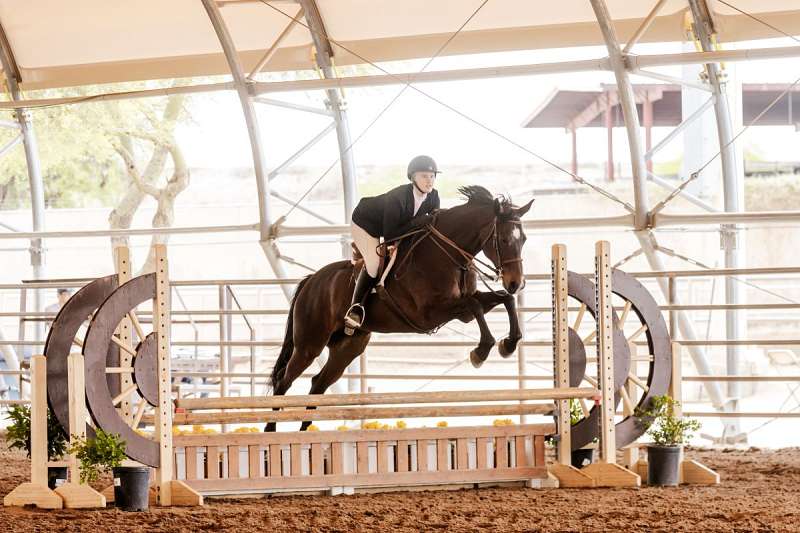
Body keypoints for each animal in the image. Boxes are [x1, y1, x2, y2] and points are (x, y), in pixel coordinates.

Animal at [266, 185, 533, 431]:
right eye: (504, 240)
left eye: (524, 240)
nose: (516, 283)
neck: (447, 254)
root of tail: (311, 280)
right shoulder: (430, 313)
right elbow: (476, 305)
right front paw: (481, 351)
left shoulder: (462, 311)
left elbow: (502, 300)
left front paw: (508, 344)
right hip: (310, 344)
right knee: (283, 382)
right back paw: (271, 433)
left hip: (347, 347)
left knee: (317, 385)